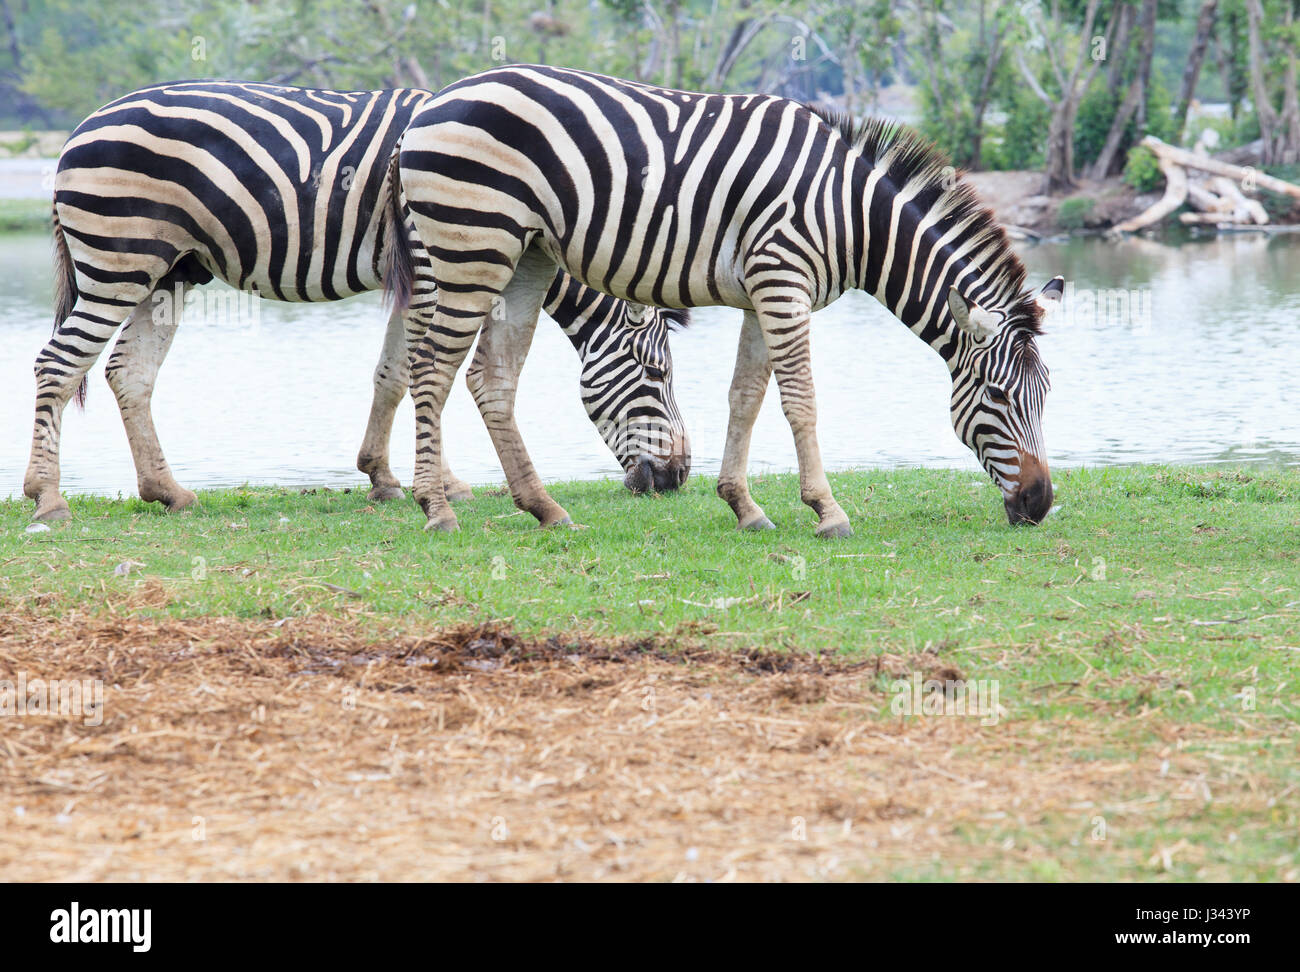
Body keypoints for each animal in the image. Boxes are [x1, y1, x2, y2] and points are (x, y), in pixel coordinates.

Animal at [23, 80, 690, 522]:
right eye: (657, 374)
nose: (679, 477)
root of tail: (82, 125)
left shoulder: (411, 280)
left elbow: (392, 374)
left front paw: (384, 477)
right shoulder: (432, 268)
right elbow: (424, 374)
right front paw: (440, 485)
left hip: (166, 272)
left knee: (127, 372)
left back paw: (167, 492)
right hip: (117, 260)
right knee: (59, 363)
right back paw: (48, 498)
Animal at [385, 64, 1063, 536]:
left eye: (1046, 395)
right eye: (999, 396)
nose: (1040, 503)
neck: (852, 218)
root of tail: (429, 106)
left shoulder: (765, 291)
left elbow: (745, 398)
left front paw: (745, 507)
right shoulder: (782, 280)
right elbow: (800, 401)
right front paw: (827, 511)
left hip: (526, 257)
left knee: (491, 378)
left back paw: (546, 510)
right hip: (473, 247)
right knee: (432, 370)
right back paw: (436, 509)